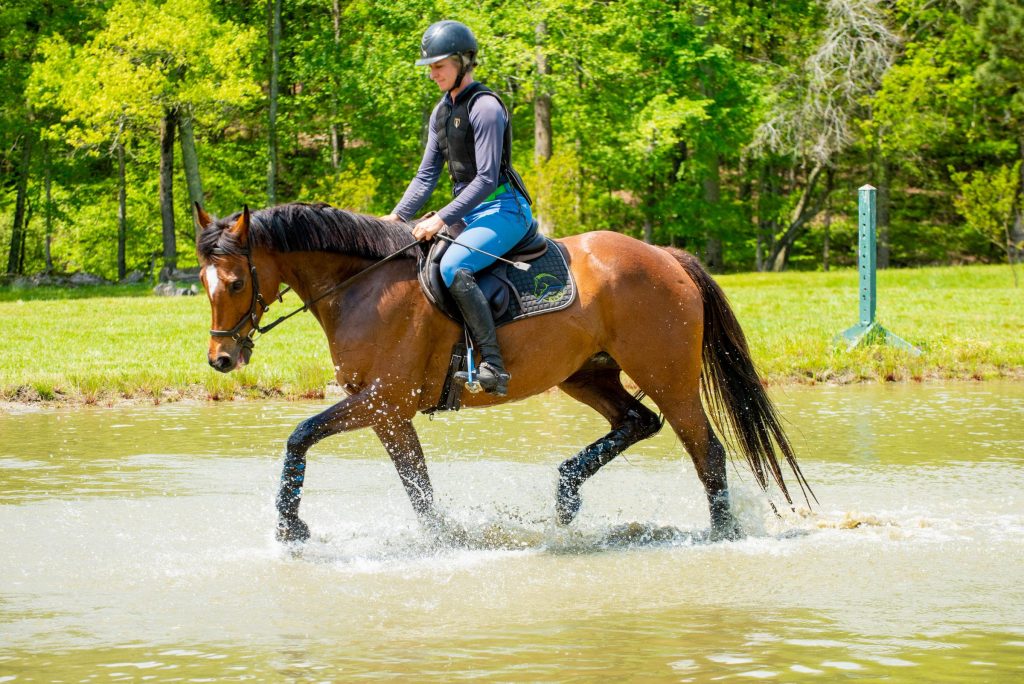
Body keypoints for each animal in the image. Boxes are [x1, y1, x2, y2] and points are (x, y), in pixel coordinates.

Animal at [195, 202, 812, 543]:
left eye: (234, 282)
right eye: (203, 282)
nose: (222, 359)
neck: (363, 287)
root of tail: (663, 255)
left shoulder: (381, 401)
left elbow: (300, 437)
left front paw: (289, 528)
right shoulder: (389, 414)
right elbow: (417, 485)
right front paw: (442, 540)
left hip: (668, 376)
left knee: (706, 451)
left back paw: (722, 534)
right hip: (586, 375)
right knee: (638, 423)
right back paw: (565, 495)